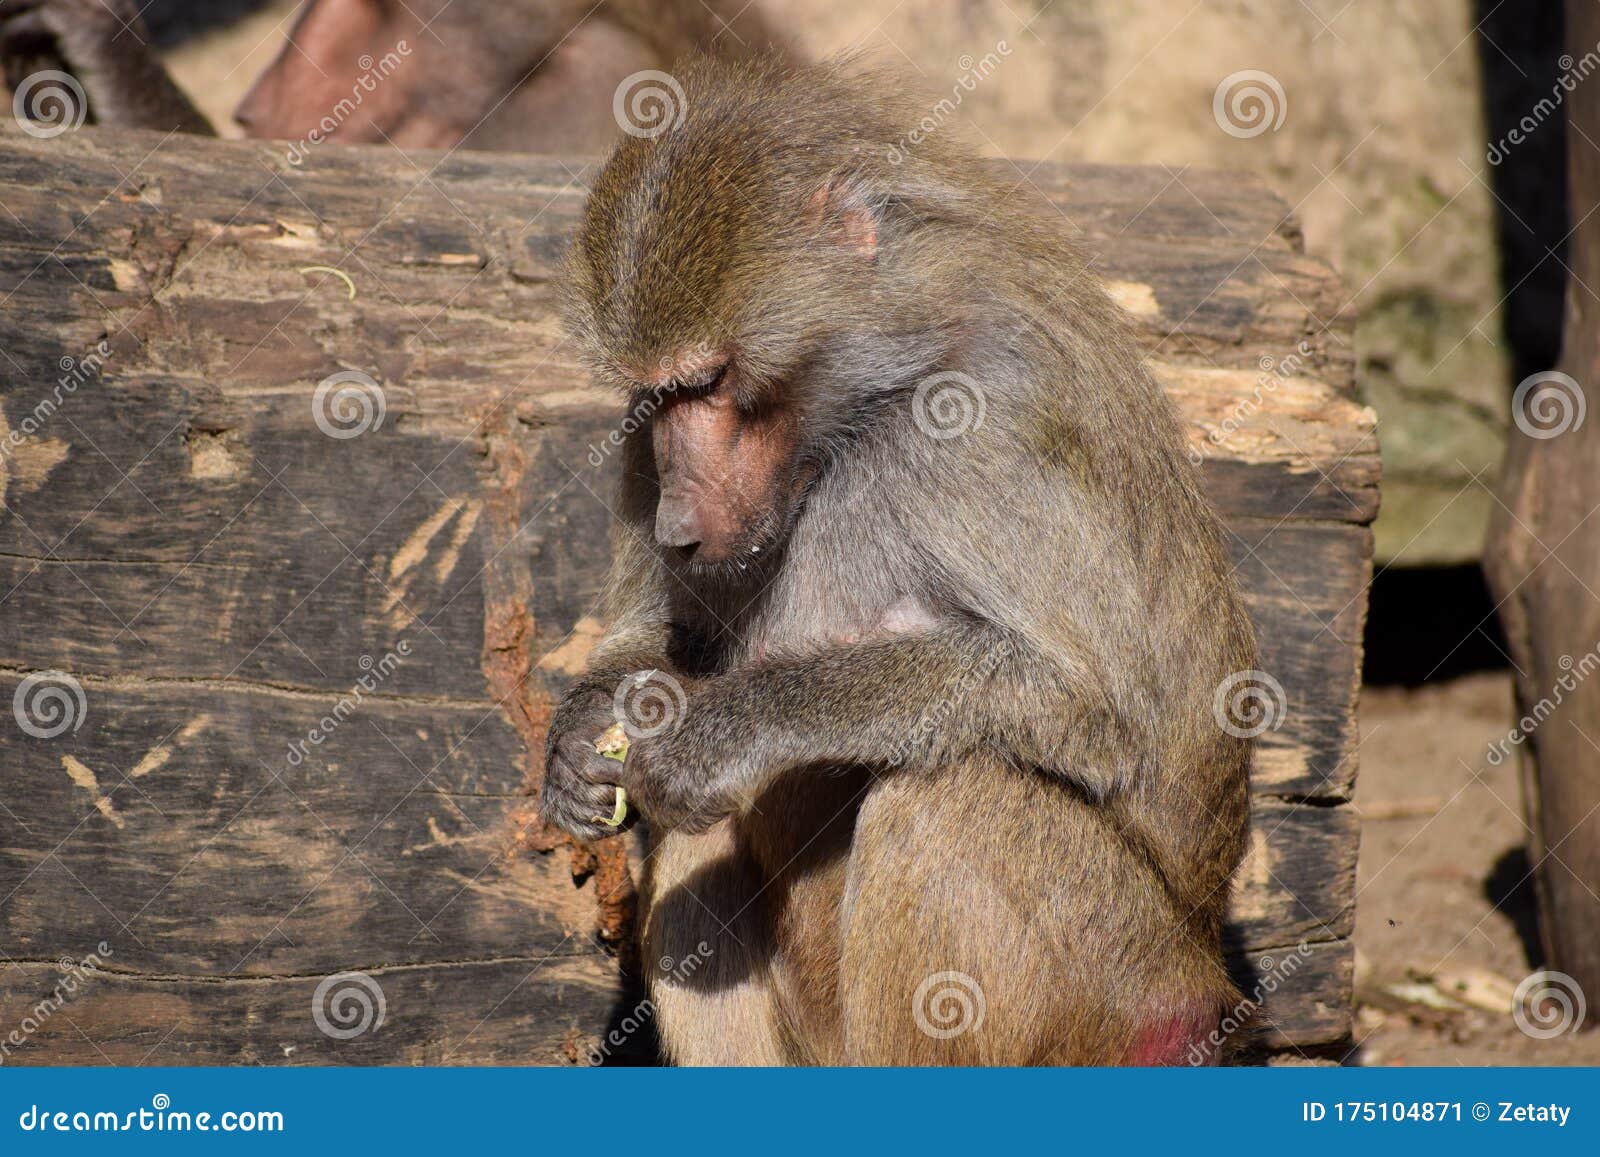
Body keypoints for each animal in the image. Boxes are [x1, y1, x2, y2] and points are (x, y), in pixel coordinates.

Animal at [540, 54, 1257, 1066]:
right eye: (655, 395)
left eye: (709, 381)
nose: (676, 525)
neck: (865, 408)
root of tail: (1207, 979)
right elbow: (672, 643)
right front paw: (584, 730)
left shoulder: (997, 417)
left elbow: (1094, 705)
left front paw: (730, 728)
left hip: (1123, 992)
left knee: (949, 792)